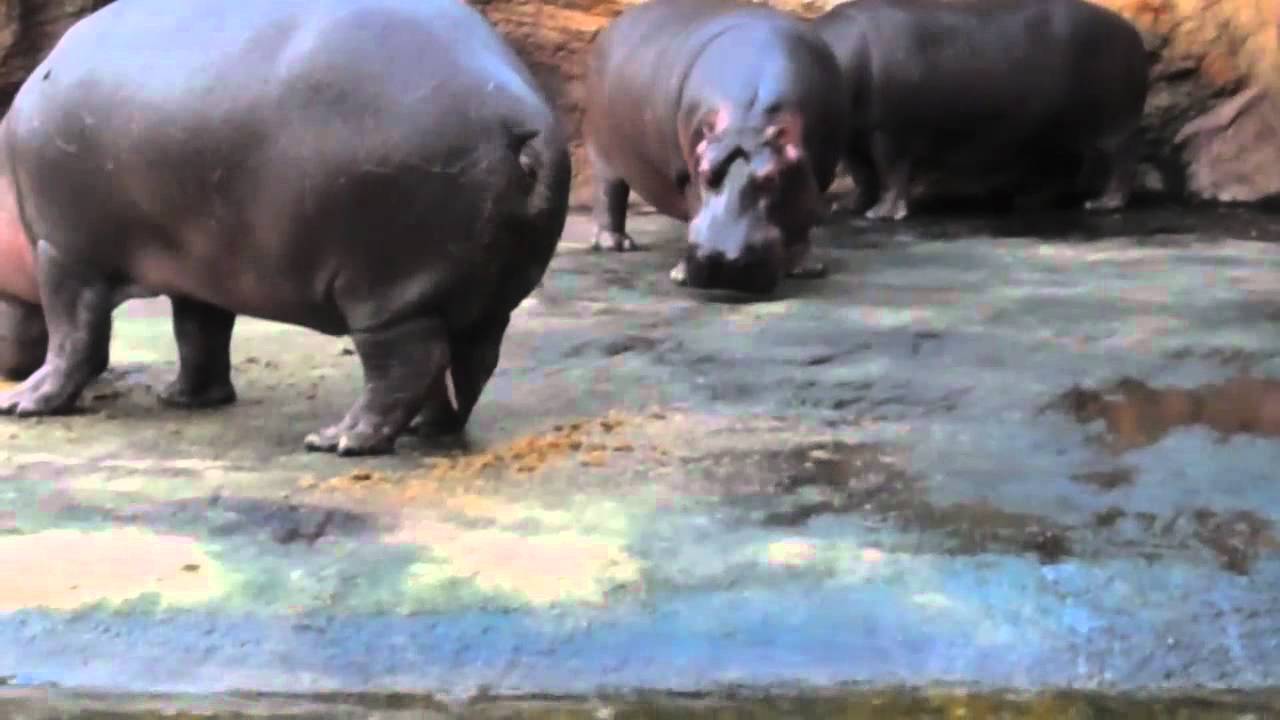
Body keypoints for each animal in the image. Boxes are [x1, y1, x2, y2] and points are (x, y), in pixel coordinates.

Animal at [0, 0, 571, 456]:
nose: (10, 371)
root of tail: (519, 116)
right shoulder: (201, 266)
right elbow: (200, 334)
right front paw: (184, 399)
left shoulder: (63, 251)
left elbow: (75, 339)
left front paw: (25, 403)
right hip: (480, 295)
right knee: (468, 363)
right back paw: (426, 431)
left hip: (384, 290)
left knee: (409, 363)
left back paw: (339, 440)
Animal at [583, 0, 849, 295]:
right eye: (705, 172)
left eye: (771, 178)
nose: (722, 260)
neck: (747, 122)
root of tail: (615, 25)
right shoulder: (687, 172)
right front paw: (680, 274)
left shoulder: (818, 171)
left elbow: (802, 220)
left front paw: (806, 269)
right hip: (603, 152)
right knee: (609, 193)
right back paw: (616, 244)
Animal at [813, 0, 1150, 220]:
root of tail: (1132, 30)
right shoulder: (854, 136)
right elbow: (863, 174)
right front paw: (846, 206)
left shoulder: (889, 132)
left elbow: (890, 171)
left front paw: (882, 214)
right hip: (1057, 129)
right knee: (1065, 166)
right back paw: (1031, 201)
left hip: (1114, 124)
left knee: (1124, 159)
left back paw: (1103, 204)